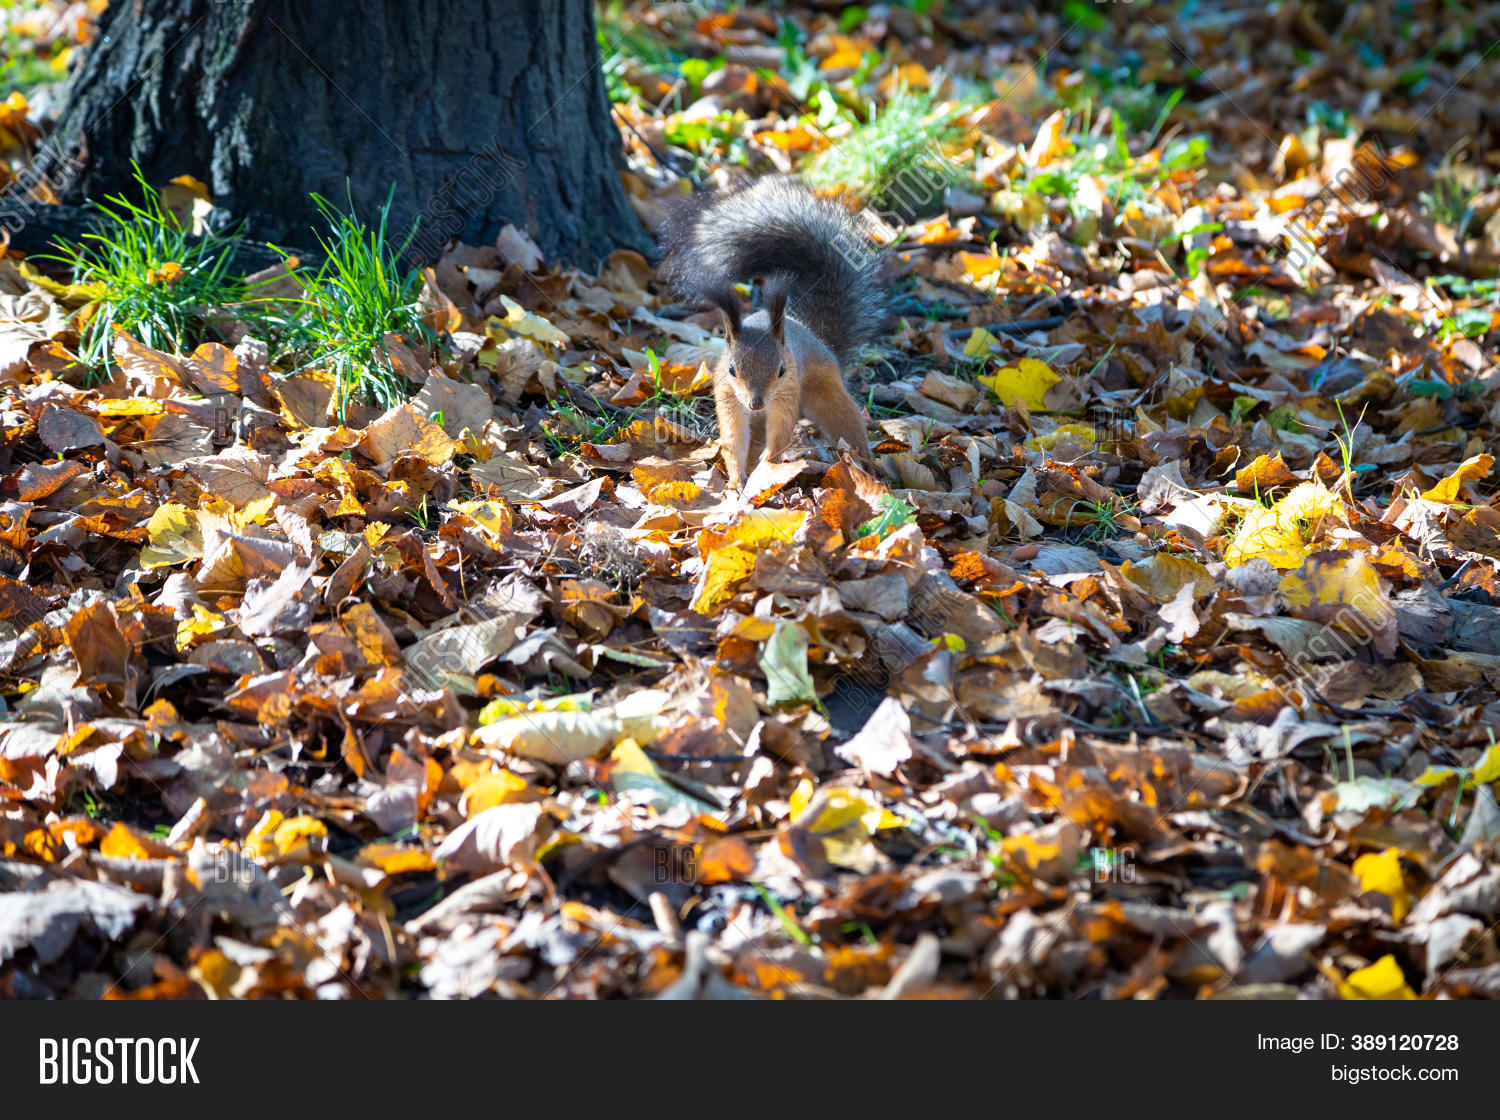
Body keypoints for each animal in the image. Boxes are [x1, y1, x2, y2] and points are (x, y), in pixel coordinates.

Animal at [661, 176, 888, 489]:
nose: (756, 403)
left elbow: (780, 434)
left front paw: (765, 467)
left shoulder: (786, 394)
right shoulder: (727, 396)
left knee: (847, 421)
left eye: (781, 369)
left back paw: (866, 465)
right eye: (731, 369)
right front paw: (735, 480)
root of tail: (816, 337)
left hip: (824, 389)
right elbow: (733, 439)